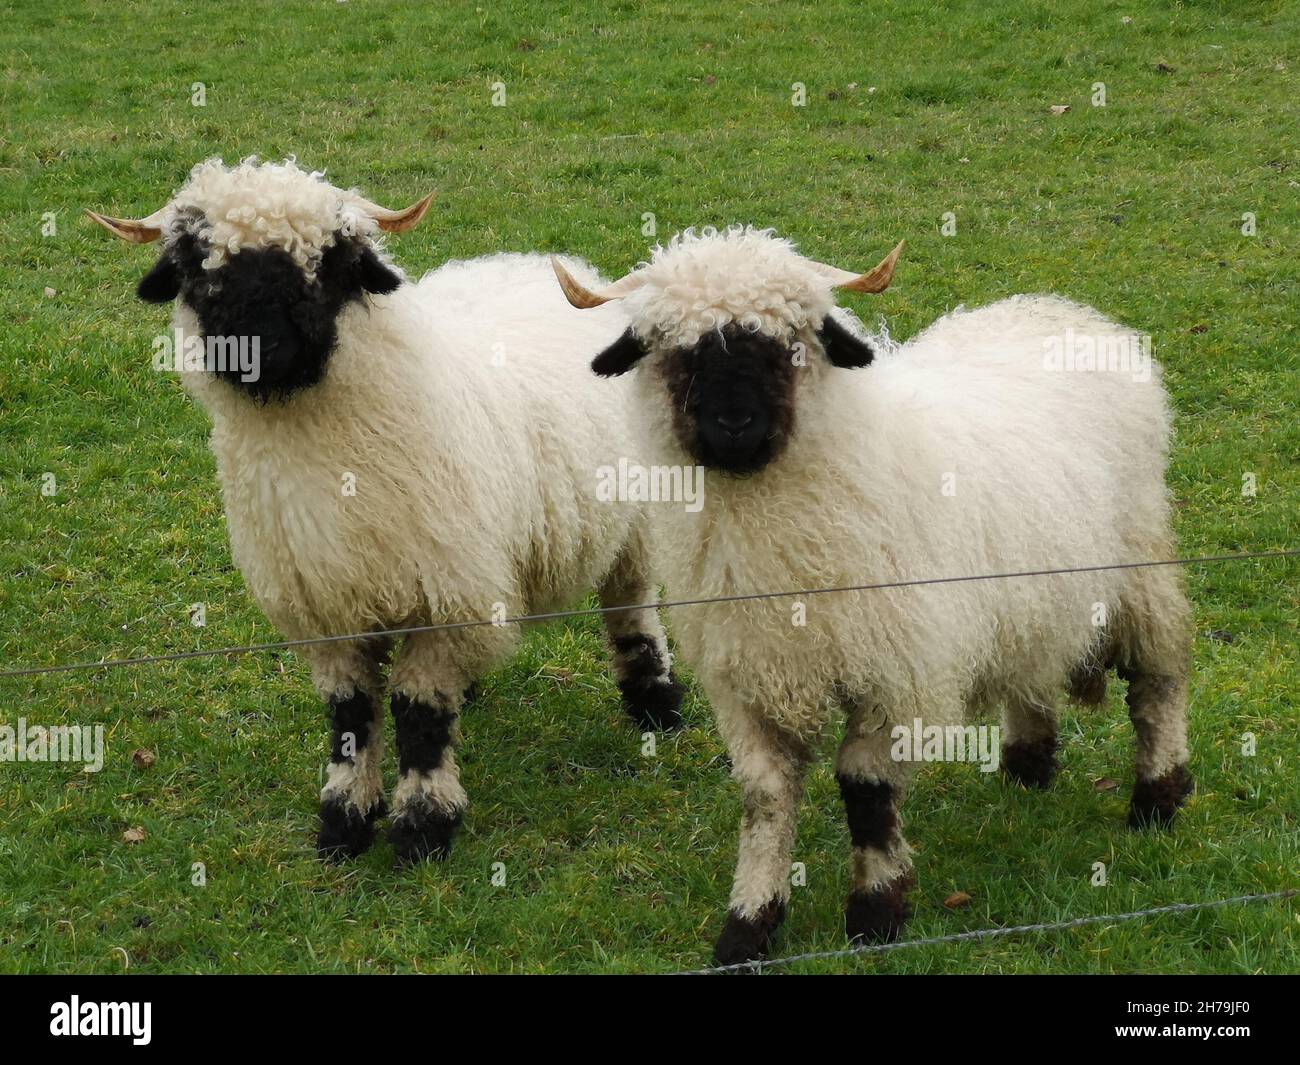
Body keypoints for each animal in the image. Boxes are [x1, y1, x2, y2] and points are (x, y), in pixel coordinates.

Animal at [88, 158, 684, 865]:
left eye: (330, 263)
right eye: (195, 267)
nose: (254, 347)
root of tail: (536, 262)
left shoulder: (443, 598)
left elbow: (417, 713)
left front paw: (423, 825)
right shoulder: (327, 609)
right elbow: (350, 713)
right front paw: (344, 819)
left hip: (635, 528)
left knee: (632, 610)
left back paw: (656, 706)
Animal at [553, 226, 1192, 965]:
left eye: (792, 343)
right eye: (676, 350)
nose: (735, 424)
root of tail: (1066, 312)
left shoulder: (894, 671)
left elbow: (866, 791)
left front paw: (875, 912)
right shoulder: (747, 678)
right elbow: (765, 798)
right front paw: (748, 925)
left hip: (1140, 570)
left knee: (1158, 680)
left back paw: (1158, 799)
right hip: (1031, 594)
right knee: (1031, 666)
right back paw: (1027, 767)